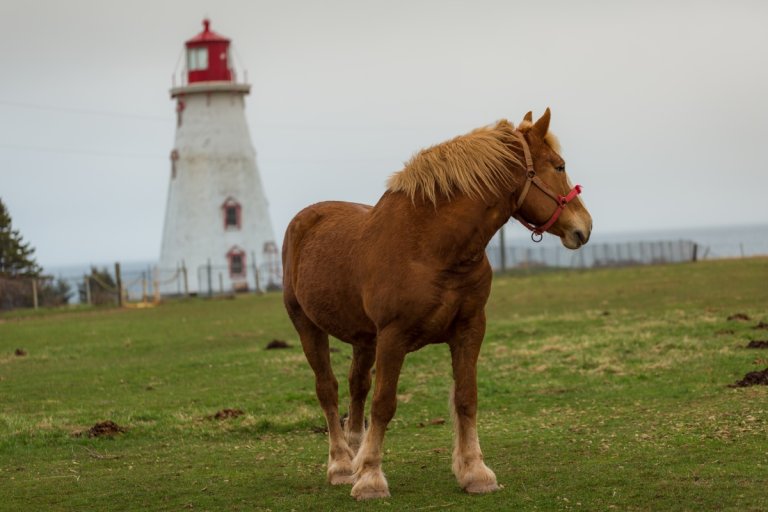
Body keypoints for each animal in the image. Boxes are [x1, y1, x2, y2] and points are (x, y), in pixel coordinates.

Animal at [282, 109, 592, 500]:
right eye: (559, 165)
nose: (584, 227)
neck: (431, 247)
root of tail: (305, 219)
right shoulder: (393, 336)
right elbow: (384, 404)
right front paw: (370, 477)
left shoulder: (469, 328)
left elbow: (466, 398)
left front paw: (474, 472)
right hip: (308, 326)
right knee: (328, 389)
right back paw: (341, 464)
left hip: (364, 339)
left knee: (356, 387)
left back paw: (354, 453)